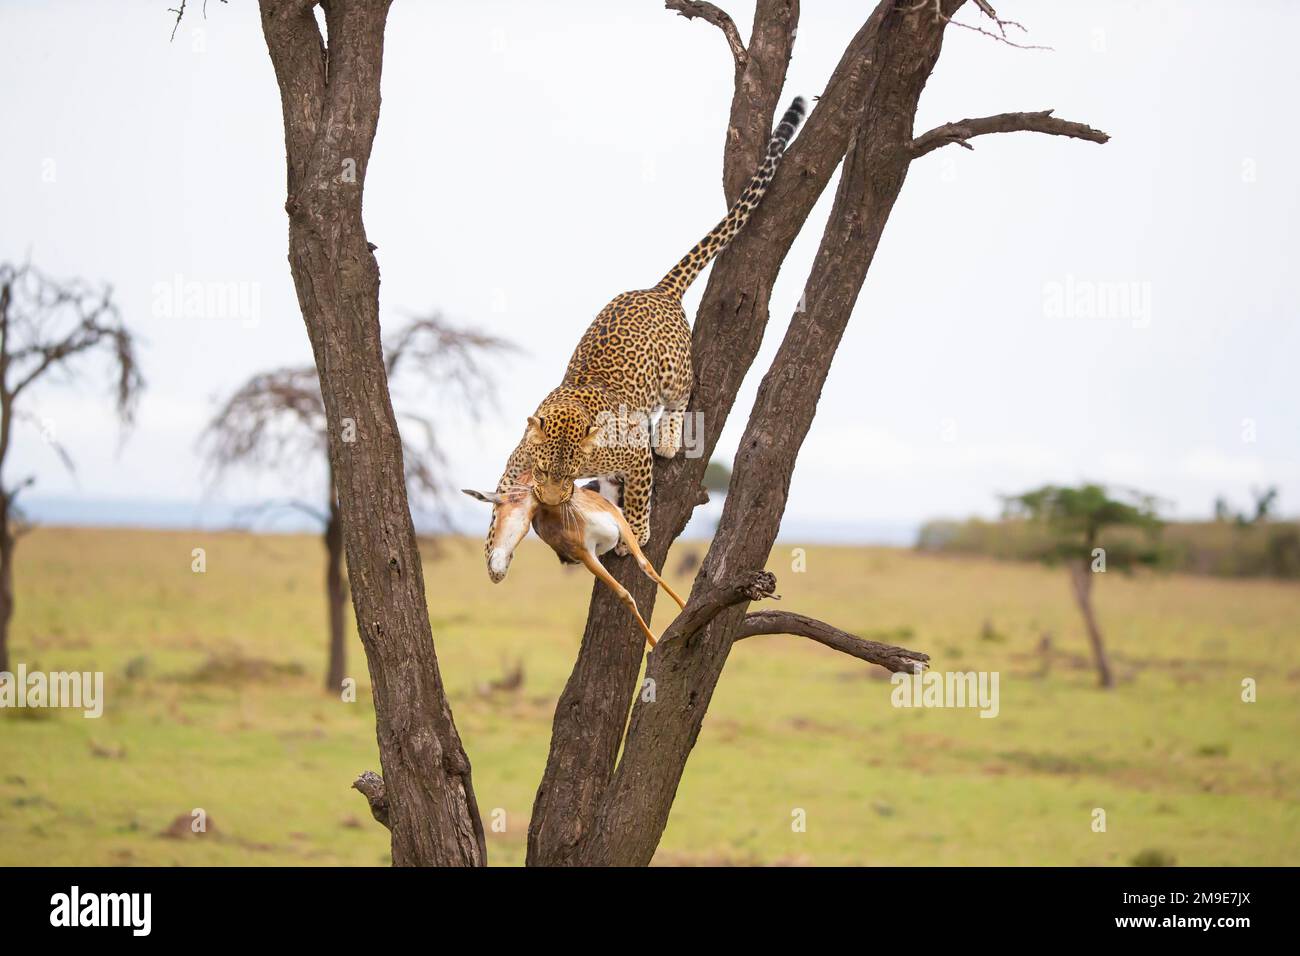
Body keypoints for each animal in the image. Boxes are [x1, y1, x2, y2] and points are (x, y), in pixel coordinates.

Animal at [486, 97, 806, 571]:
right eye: (543, 472)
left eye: (567, 474)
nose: (551, 500)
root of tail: (657, 289)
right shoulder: (519, 456)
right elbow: (503, 489)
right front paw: (495, 546)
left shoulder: (633, 451)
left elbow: (639, 495)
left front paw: (636, 534)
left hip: (673, 371)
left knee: (679, 398)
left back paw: (670, 440)